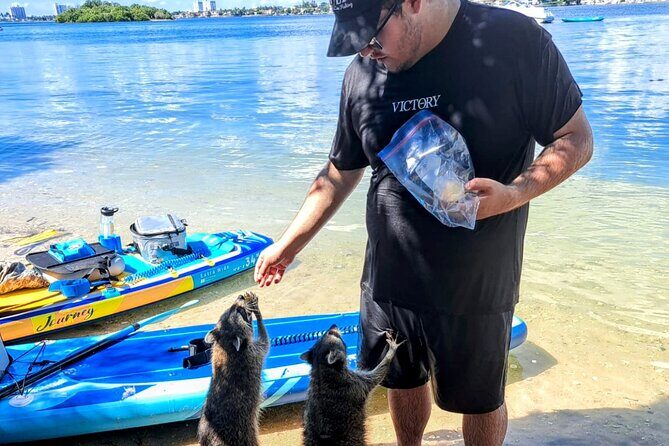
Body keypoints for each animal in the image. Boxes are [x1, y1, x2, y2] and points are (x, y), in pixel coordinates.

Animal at [197, 291, 269, 446]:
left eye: (233, 308)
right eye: (239, 311)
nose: (240, 297)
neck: (226, 344)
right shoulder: (253, 354)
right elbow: (265, 342)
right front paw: (258, 314)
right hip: (243, 434)